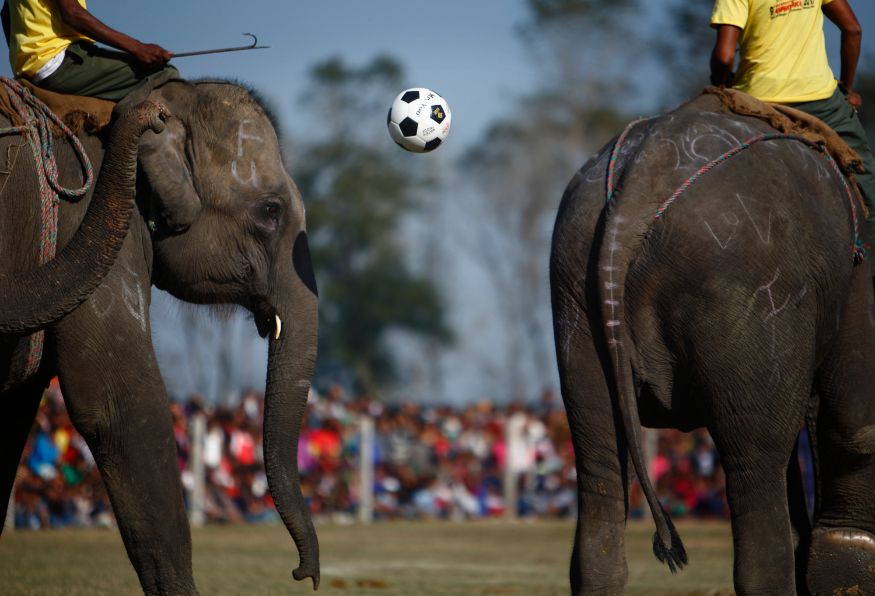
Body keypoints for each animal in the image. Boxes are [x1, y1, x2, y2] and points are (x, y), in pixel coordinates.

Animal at [550, 92, 875, 594]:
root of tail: (641, 179)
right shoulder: (855, 276)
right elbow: (855, 428)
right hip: (749, 294)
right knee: (756, 470)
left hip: (575, 294)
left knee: (598, 468)